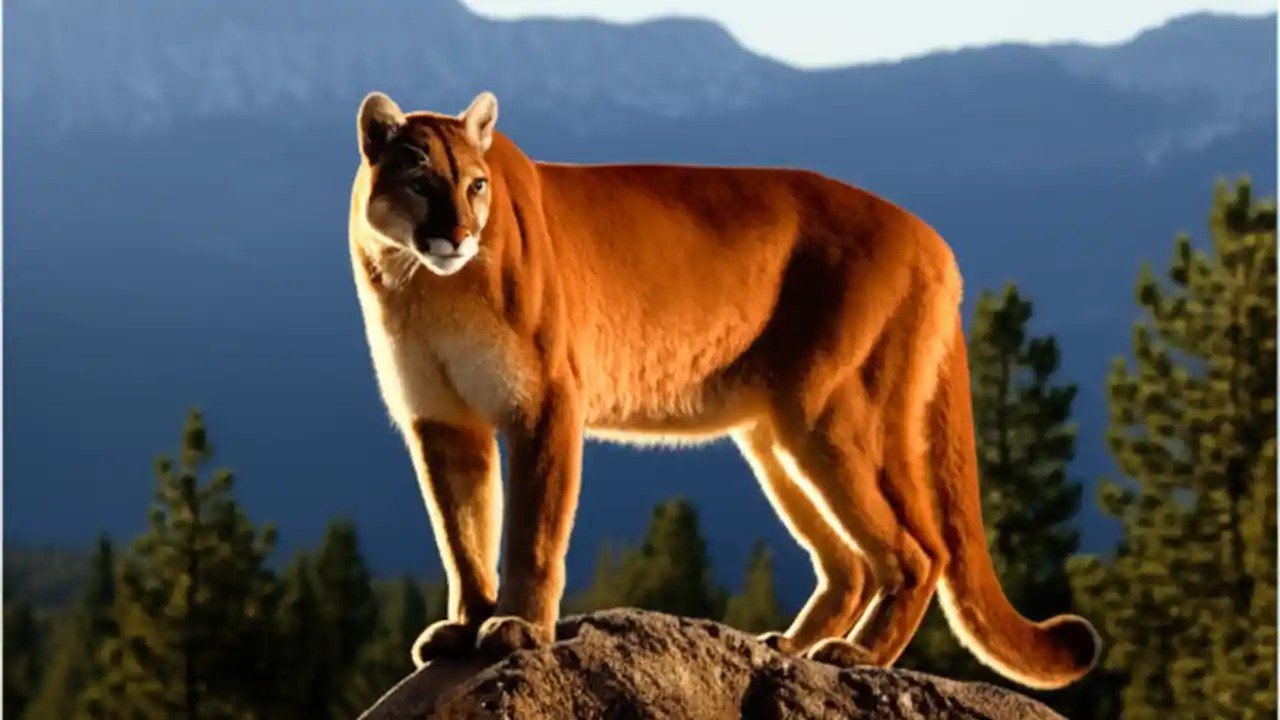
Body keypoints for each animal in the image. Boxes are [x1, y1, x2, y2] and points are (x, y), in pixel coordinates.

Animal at [347, 89, 1100, 690]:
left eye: (476, 185)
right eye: (421, 182)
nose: (457, 234)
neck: (428, 288)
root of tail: (934, 240)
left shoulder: (543, 406)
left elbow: (531, 532)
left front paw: (518, 628)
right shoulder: (443, 421)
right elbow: (462, 534)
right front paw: (464, 626)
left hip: (828, 416)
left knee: (921, 551)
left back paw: (856, 656)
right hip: (775, 440)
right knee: (848, 562)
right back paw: (791, 646)